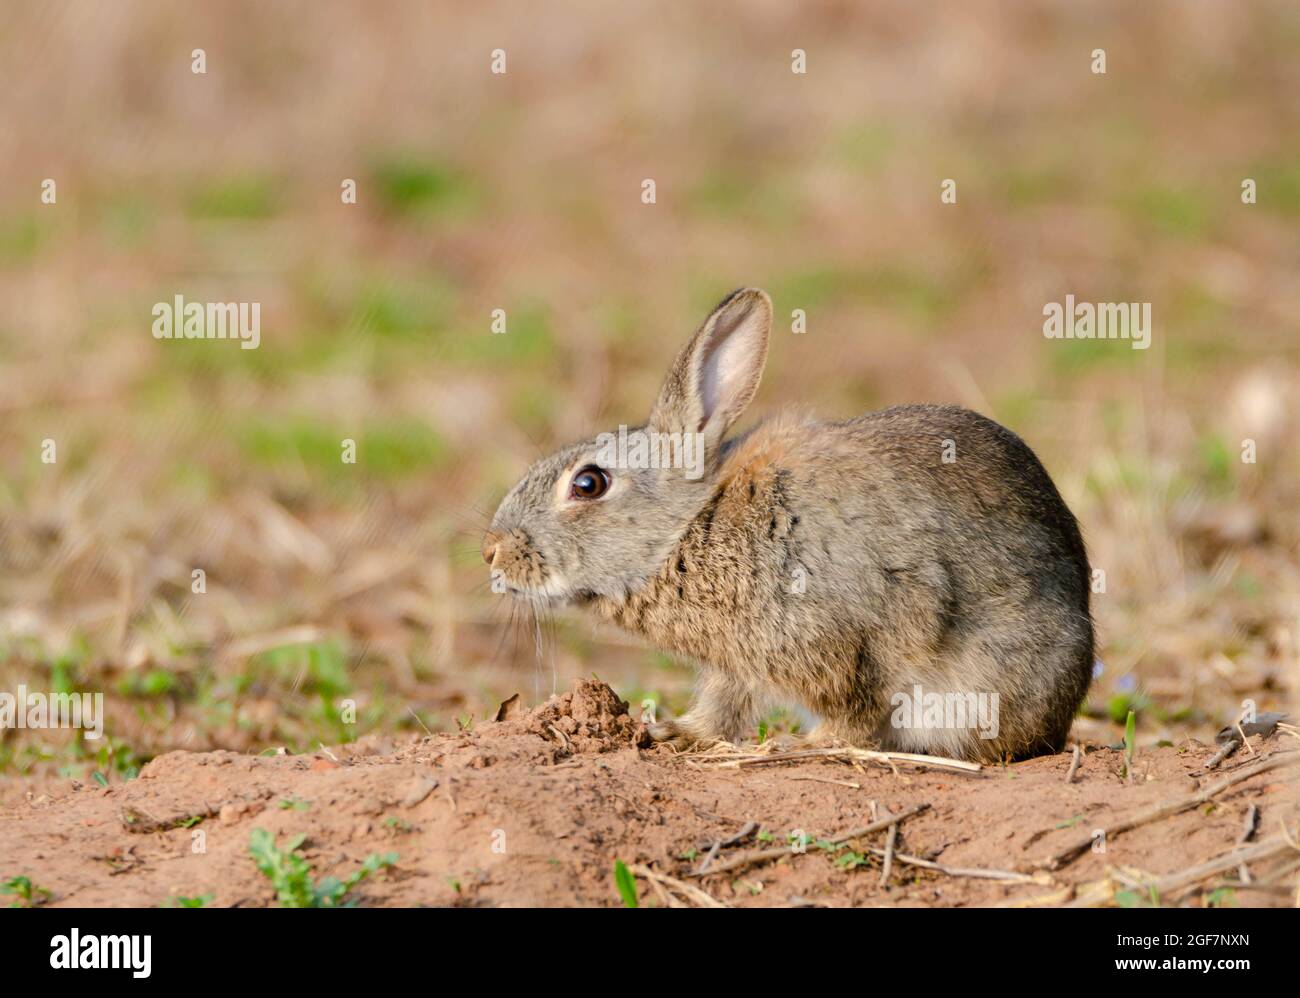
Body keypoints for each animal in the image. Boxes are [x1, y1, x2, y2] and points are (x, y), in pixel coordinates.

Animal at [483, 288, 1094, 762]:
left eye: (588, 484)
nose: (492, 550)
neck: (690, 527)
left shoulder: (849, 640)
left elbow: (855, 710)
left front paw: (798, 745)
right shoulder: (735, 664)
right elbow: (724, 704)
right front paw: (675, 733)